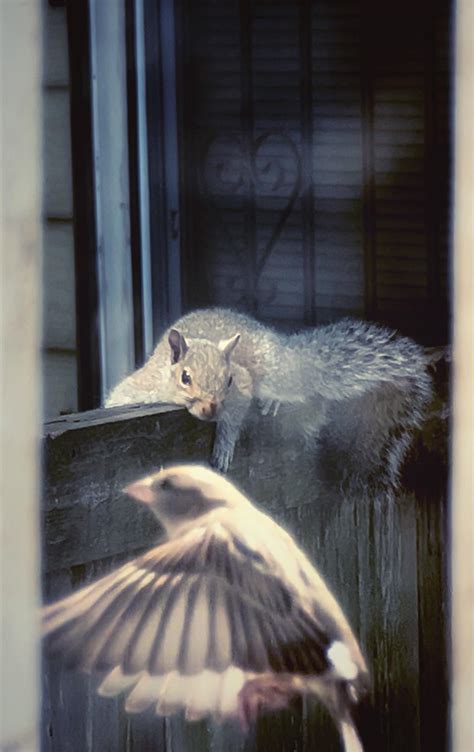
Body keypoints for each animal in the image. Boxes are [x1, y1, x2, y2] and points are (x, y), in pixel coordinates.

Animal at [106, 307, 433, 485]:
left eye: (228, 380)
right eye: (185, 377)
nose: (211, 409)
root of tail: (287, 352)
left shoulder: (242, 384)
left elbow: (235, 414)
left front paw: (224, 443)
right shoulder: (139, 386)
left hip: (274, 371)